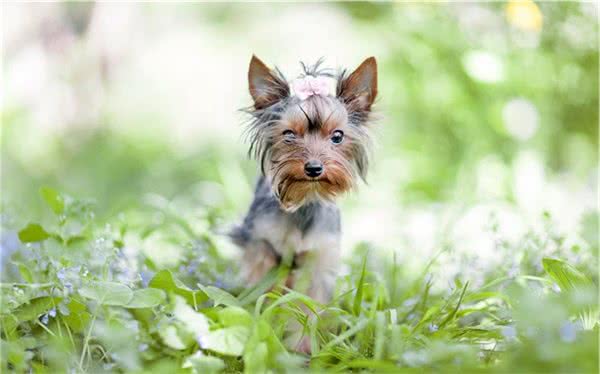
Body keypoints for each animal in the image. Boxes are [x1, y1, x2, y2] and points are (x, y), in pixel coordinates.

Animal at [227, 54, 378, 350]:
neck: (304, 200)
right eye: (289, 134)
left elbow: (308, 308)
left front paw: (303, 348)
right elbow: (265, 294)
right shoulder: (263, 250)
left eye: (337, 136)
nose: (314, 168)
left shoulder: (317, 262)